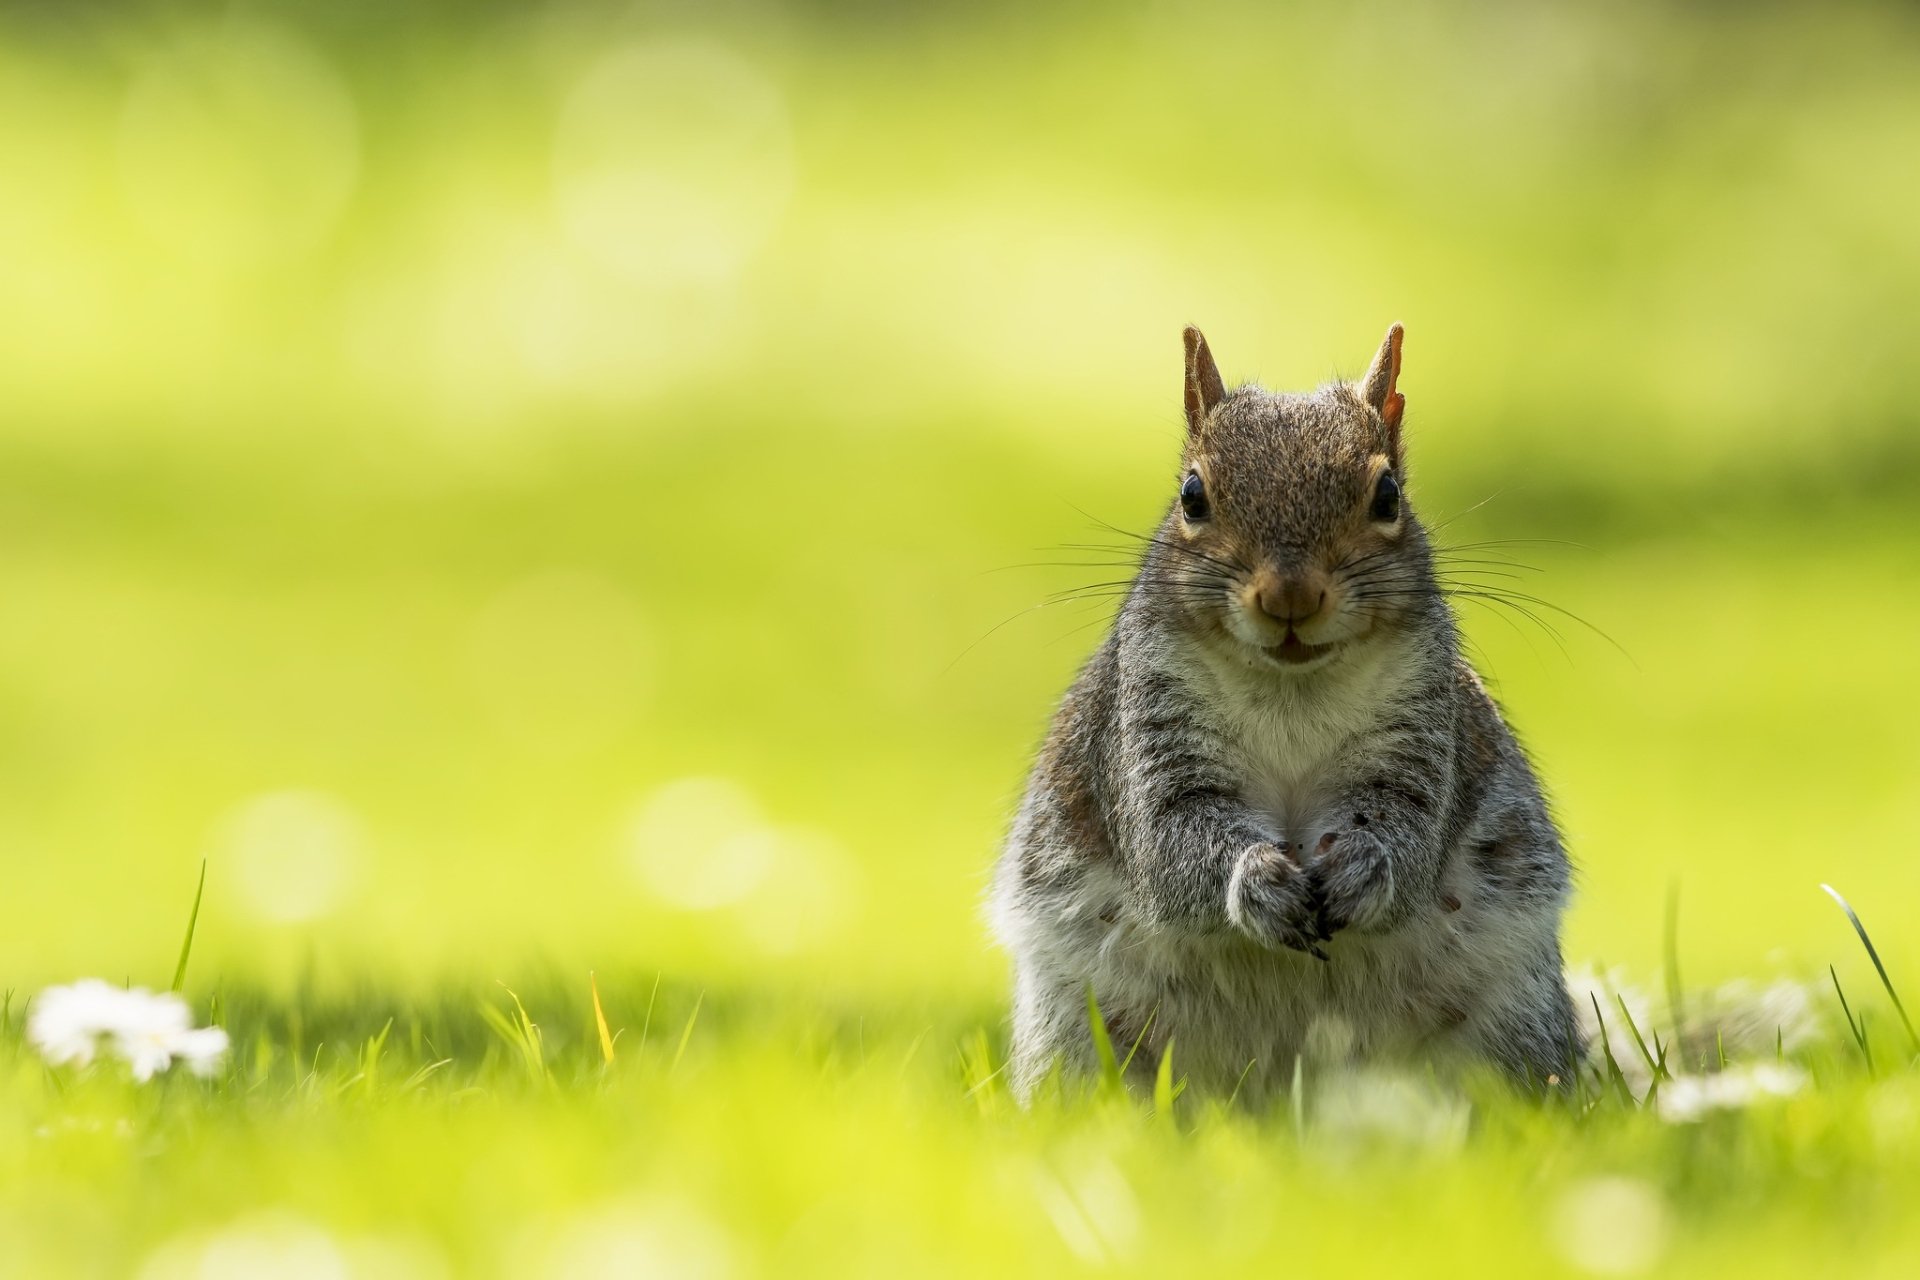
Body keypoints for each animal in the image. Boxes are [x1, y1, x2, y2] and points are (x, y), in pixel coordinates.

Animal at [989, 323, 1580, 1101]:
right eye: (1192, 495)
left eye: (1388, 494)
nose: (1290, 596)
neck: (1291, 688)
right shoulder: (1144, 736)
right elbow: (1170, 841)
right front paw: (1258, 883)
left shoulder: (1422, 735)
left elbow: (1410, 827)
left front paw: (1366, 866)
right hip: (1077, 1037)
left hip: (1510, 1025)